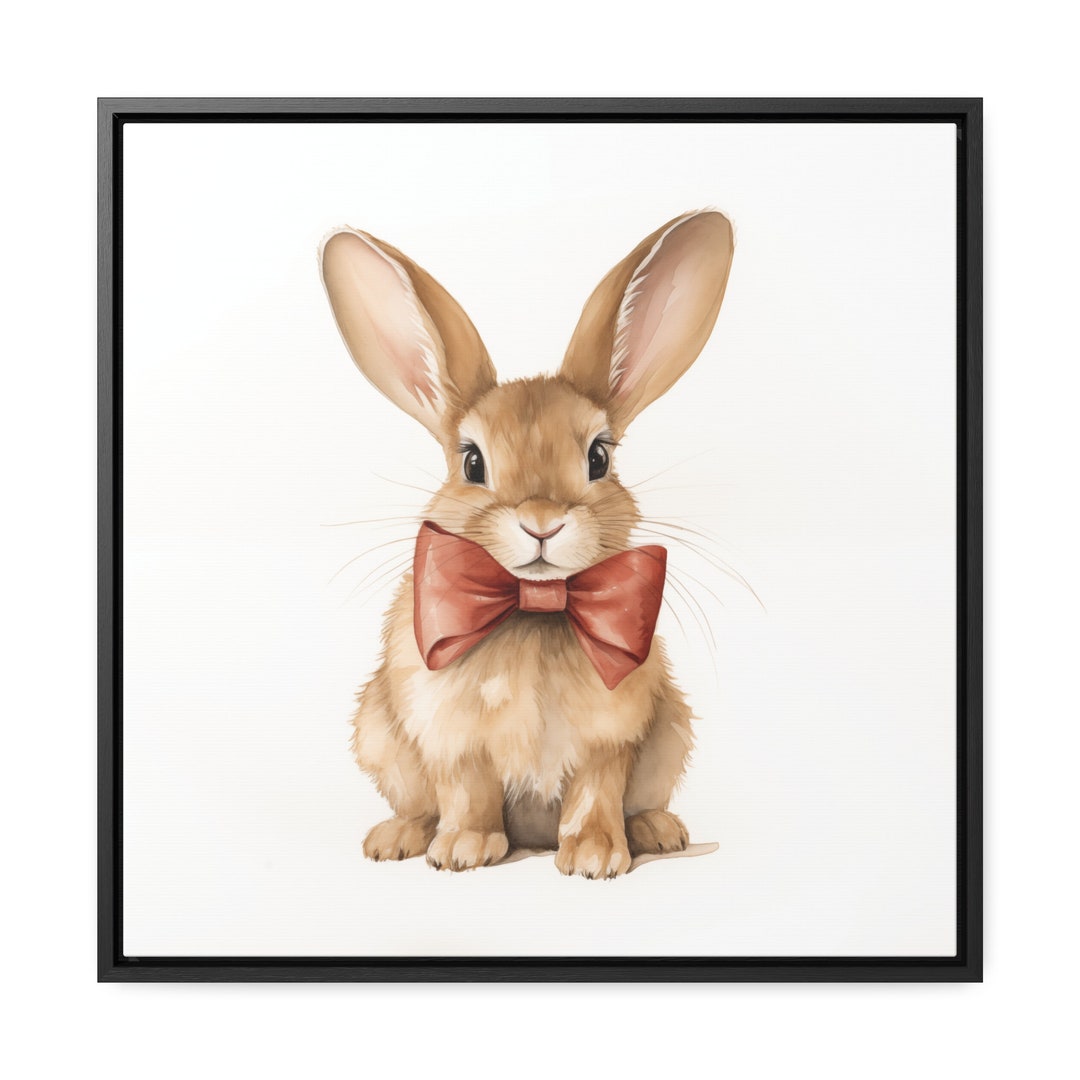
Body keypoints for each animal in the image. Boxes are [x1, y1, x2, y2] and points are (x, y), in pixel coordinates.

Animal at [319, 209, 735, 878]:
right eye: (471, 462)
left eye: (598, 458)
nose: (542, 521)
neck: (533, 605)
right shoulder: (453, 741)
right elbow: (468, 792)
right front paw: (463, 851)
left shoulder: (608, 740)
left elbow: (595, 793)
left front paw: (594, 858)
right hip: (378, 737)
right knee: (417, 804)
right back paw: (397, 839)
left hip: (671, 736)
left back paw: (657, 831)